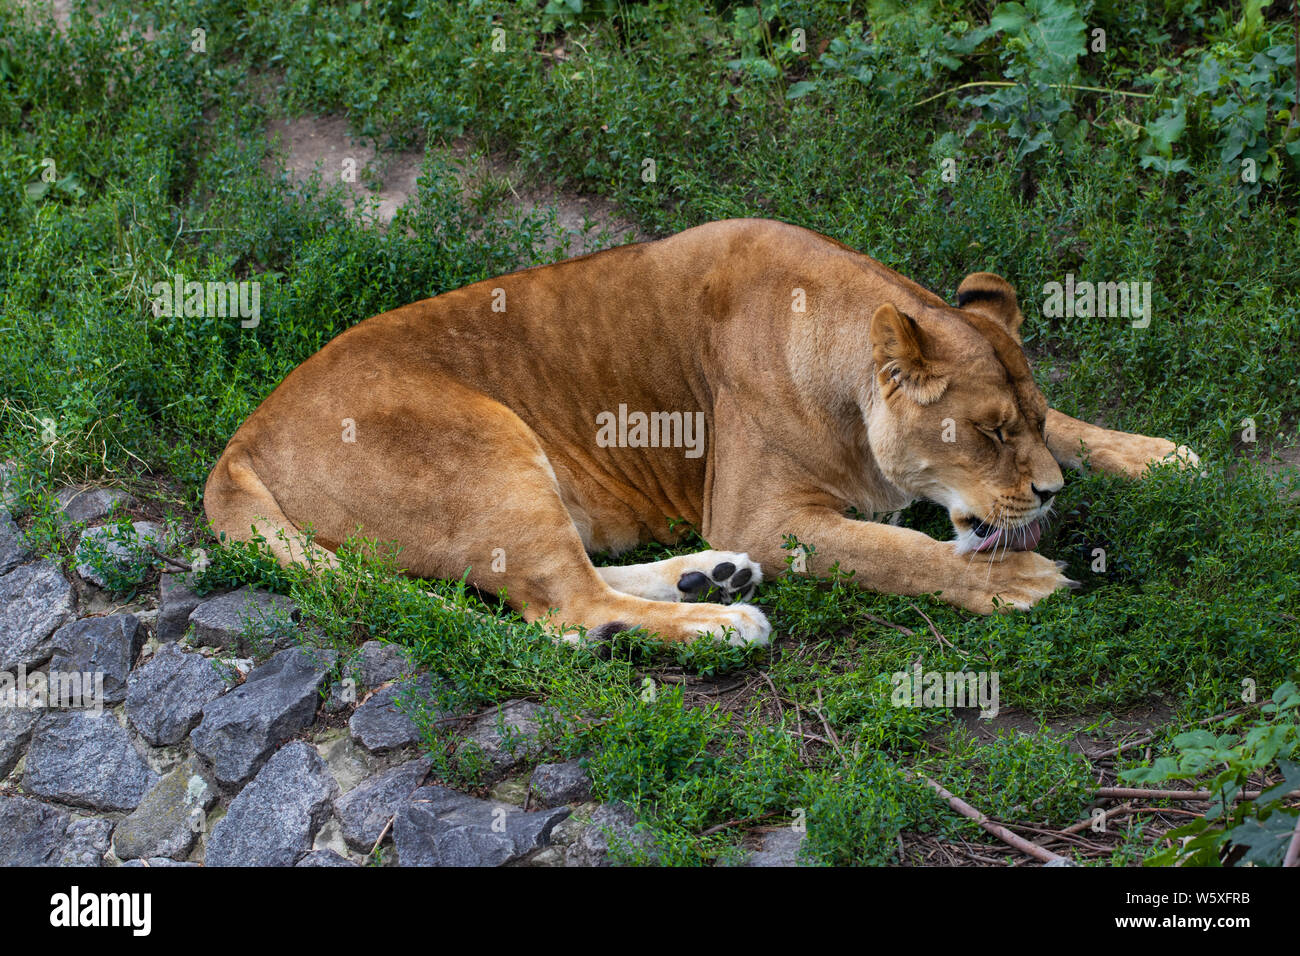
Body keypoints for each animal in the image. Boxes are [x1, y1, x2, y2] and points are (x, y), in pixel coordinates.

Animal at [204, 219, 1198, 646]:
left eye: (1027, 423)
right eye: (987, 435)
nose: (1050, 497)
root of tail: (238, 444)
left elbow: (1081, 431)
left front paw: (1163, 456)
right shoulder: (763, 514)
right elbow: (894, 552)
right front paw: (1017, 578)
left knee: (567, 580)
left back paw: (708, 576)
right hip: (488, 441)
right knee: (570, 612)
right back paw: (727, 620)